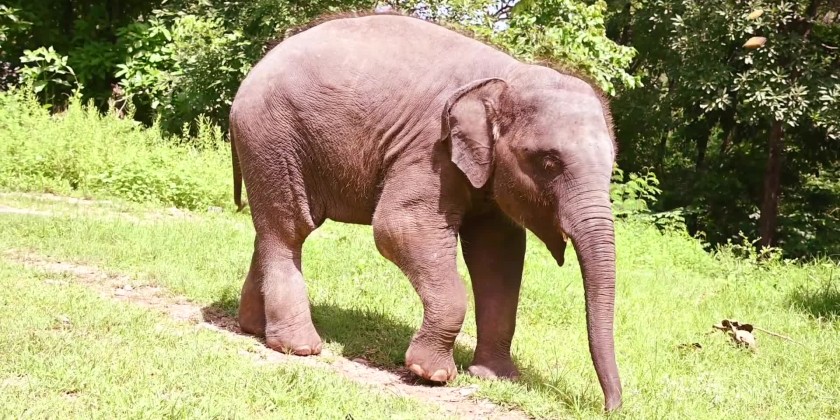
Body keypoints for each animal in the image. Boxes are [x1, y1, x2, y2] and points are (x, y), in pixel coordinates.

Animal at [229, 11, 622, 411]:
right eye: (548, 162)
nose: (610, 407)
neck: (510, 75)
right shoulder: (430, 149)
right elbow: (397, 228)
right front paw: (430, 374)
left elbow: (499, 254)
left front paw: (496, 377)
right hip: (273, 137)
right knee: (290, 228)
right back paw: (299, 347)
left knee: (271, 229)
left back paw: (254, 329)